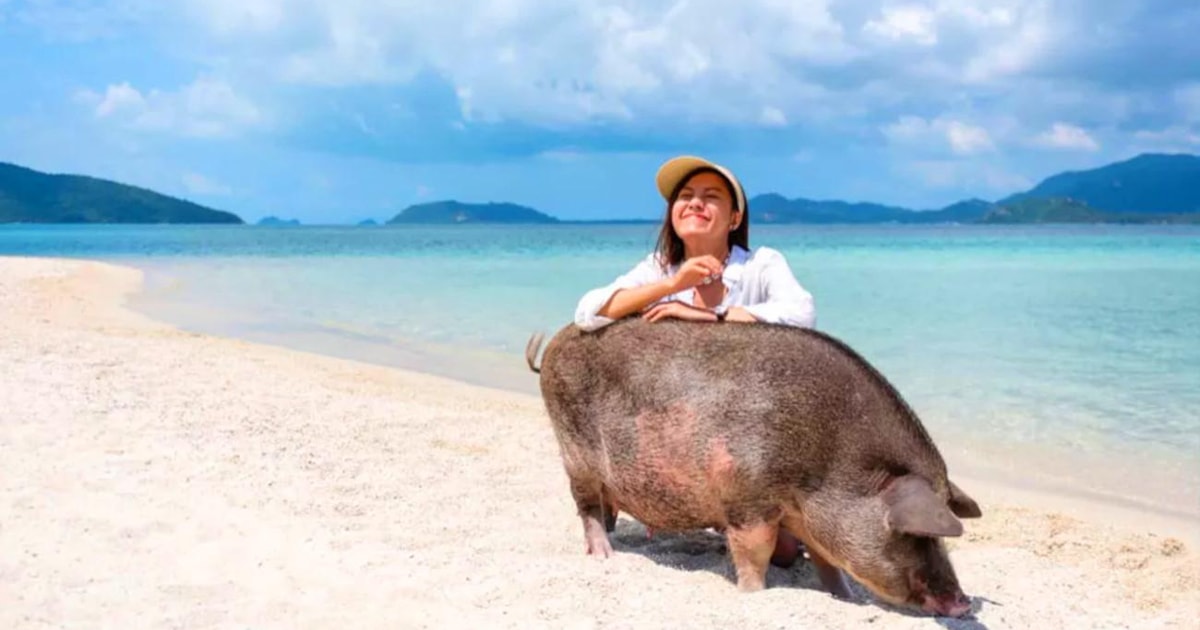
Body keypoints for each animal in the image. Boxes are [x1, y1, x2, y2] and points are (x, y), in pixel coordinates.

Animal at [525, 317, 981, 618]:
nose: (962, 603)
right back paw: (603, 555)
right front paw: (753, 594)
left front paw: (846, 598)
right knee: (586, 506)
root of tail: (556, 342)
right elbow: (754, 552)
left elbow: (827, 561)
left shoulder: (808, 519)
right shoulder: (746, 498)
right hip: (574, 449)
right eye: (915, 535)